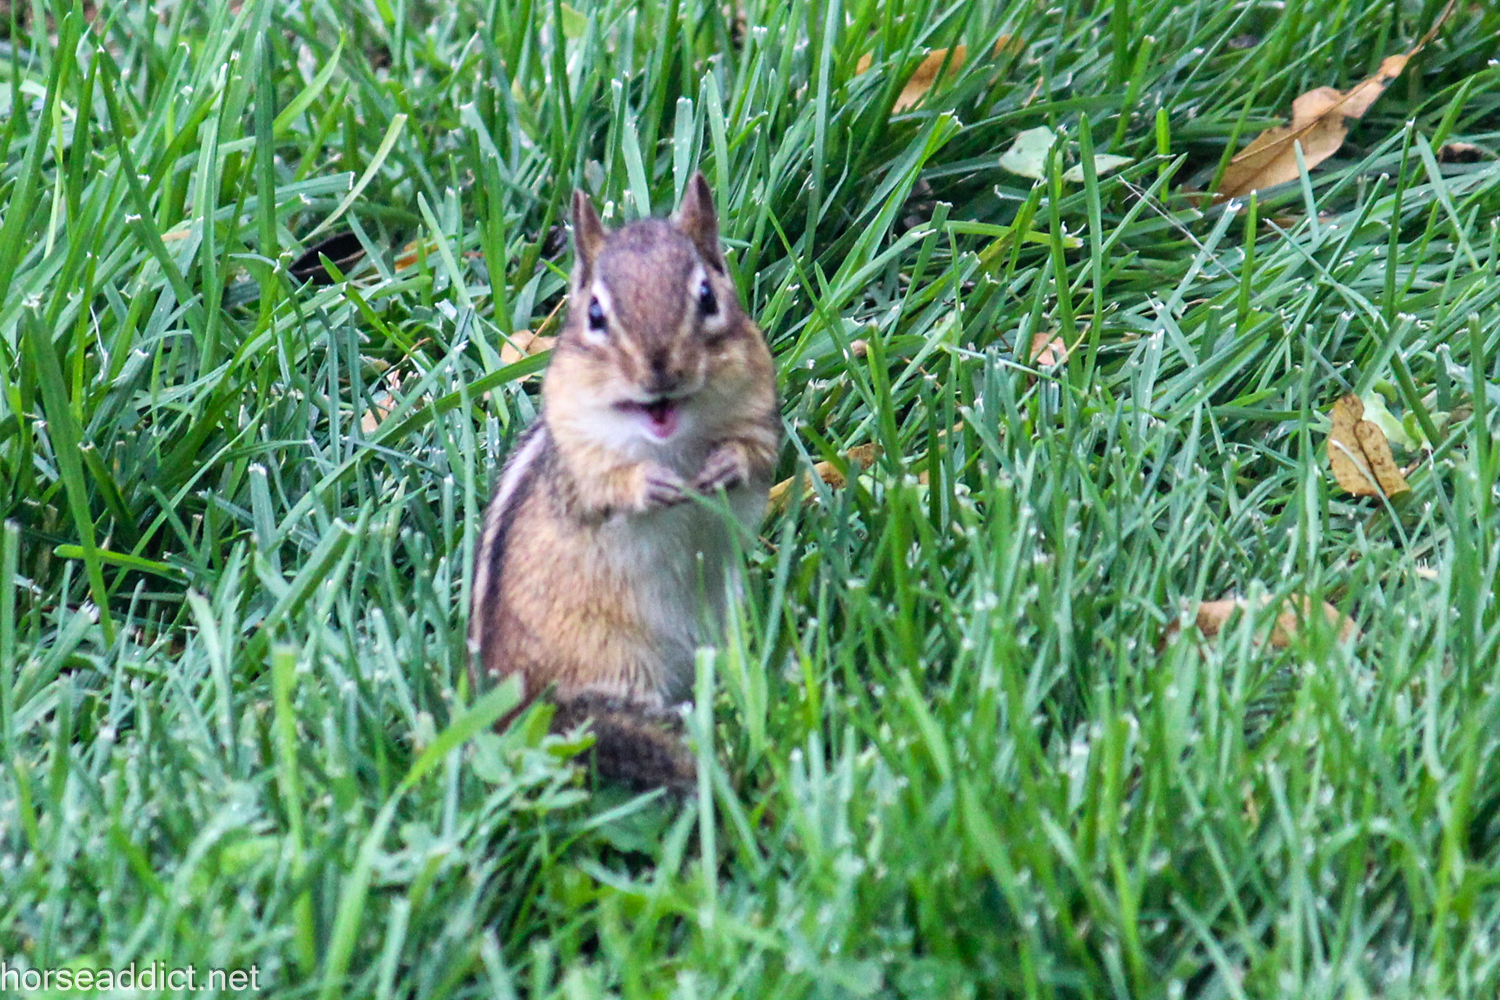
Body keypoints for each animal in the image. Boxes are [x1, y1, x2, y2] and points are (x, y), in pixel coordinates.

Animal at [469, 173, 780, 789]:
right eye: (594, 314)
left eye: (708, 297)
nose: (659, 371)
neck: (673, 436)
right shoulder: (577, 455)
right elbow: (600, 488)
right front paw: (649, 486)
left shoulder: (762, 412)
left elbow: (760, 456)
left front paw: (726, 465)